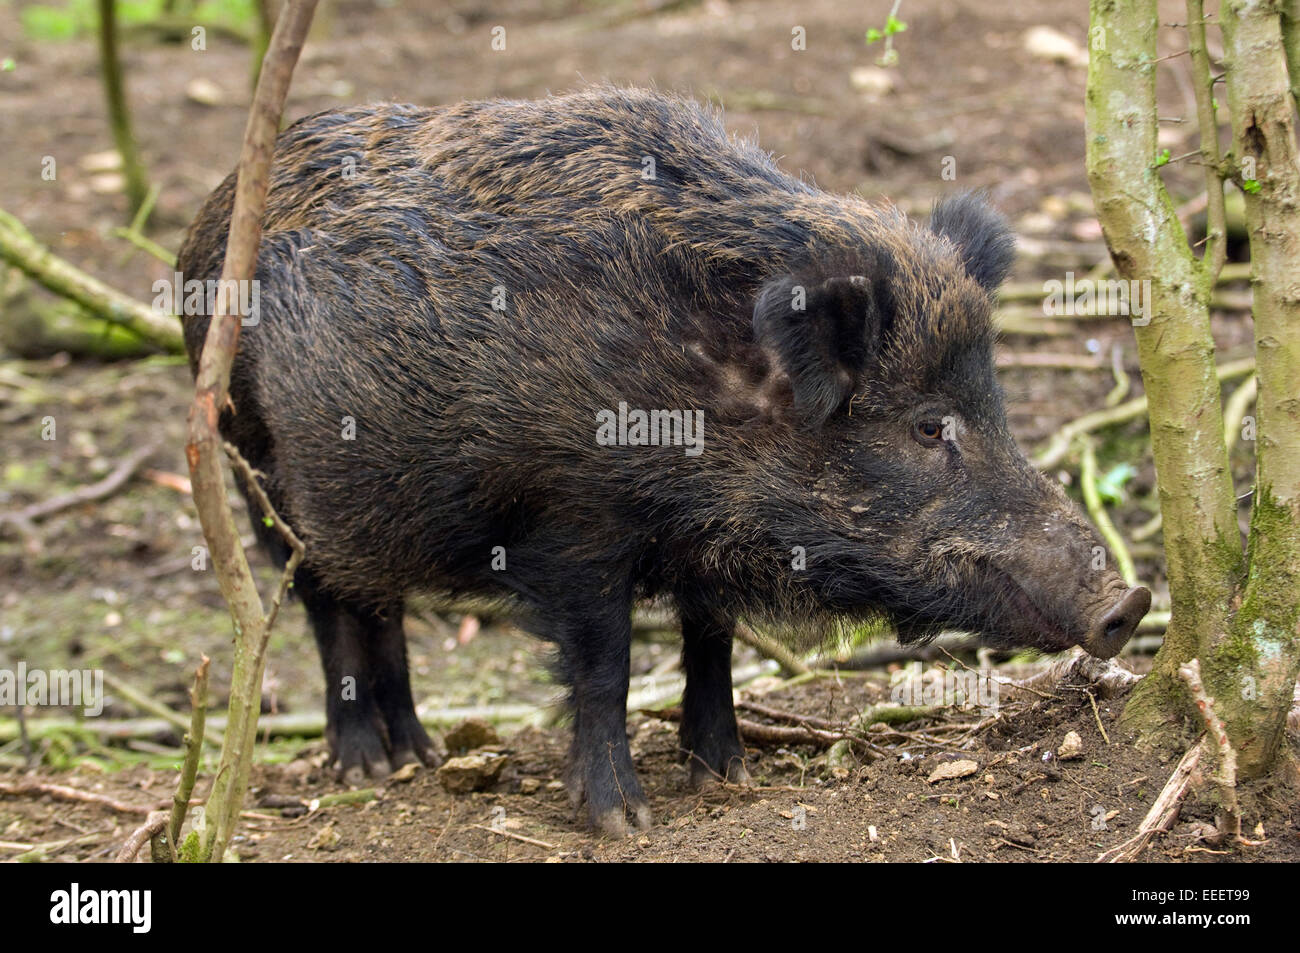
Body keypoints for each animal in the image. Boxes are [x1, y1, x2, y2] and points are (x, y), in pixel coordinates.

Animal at [178, 86, 1150, 835]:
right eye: (926, 426)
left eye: (997, 406)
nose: (1130, 600)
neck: (706, 392)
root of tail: (208, 217)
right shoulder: (570, 525)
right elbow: (604, 663)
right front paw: (623, 821)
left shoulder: (703, 541)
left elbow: (709, 638)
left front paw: (727, 777)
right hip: (255, 465)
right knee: (322, 607)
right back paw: (364, 770)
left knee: (376, 605)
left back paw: (414, 753)